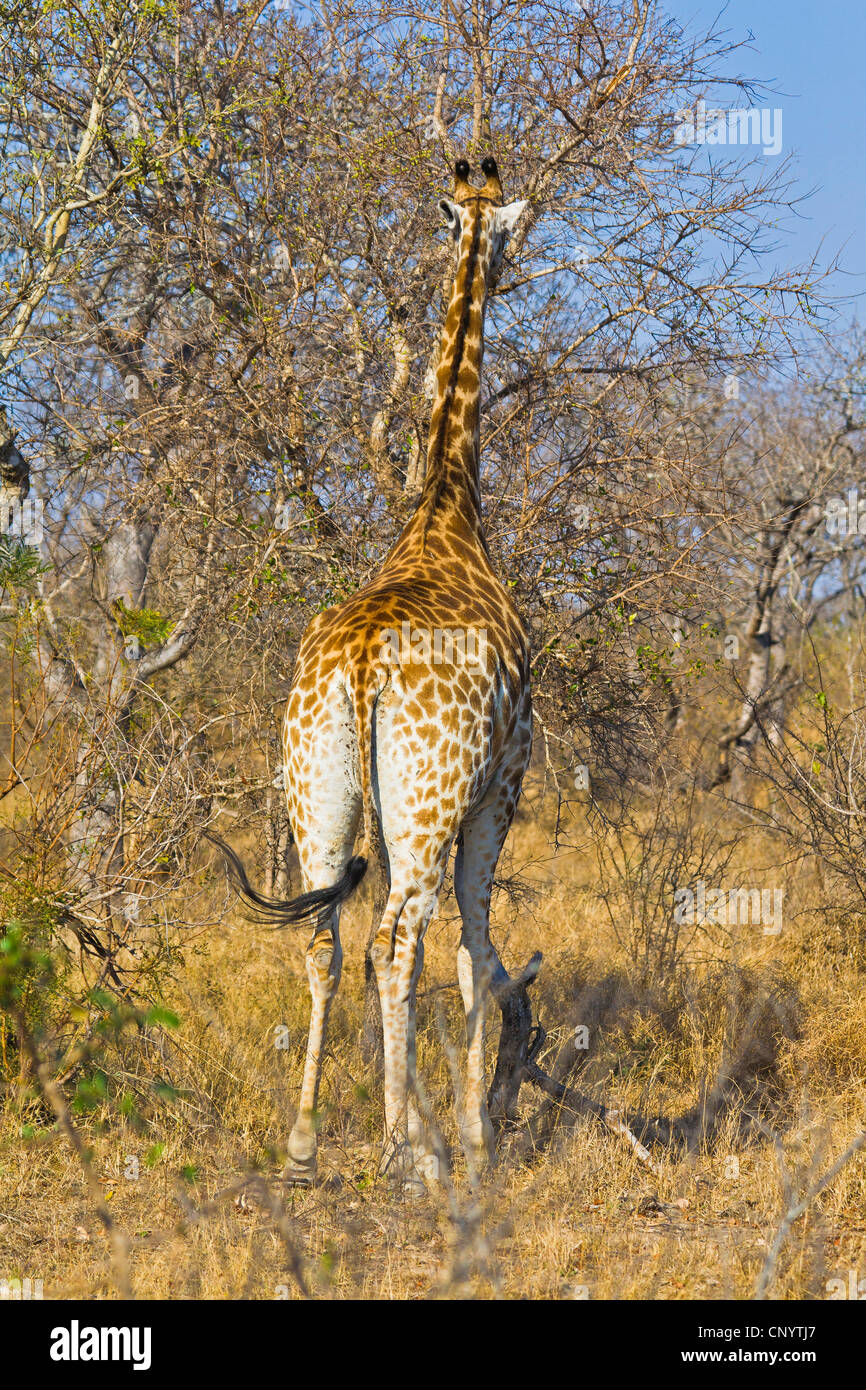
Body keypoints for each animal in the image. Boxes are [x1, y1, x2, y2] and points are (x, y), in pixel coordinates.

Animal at [212, 157, 531, 1191]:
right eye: (504, 237)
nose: (504, 258)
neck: (447, 508)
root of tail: (356, 663)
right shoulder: (501, 788)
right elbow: (476, 951)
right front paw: (469, 1137)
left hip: (320, 787)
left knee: (327, 938)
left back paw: (307, 1141)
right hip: (427, 800)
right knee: (397, 938)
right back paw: (404, 1150)